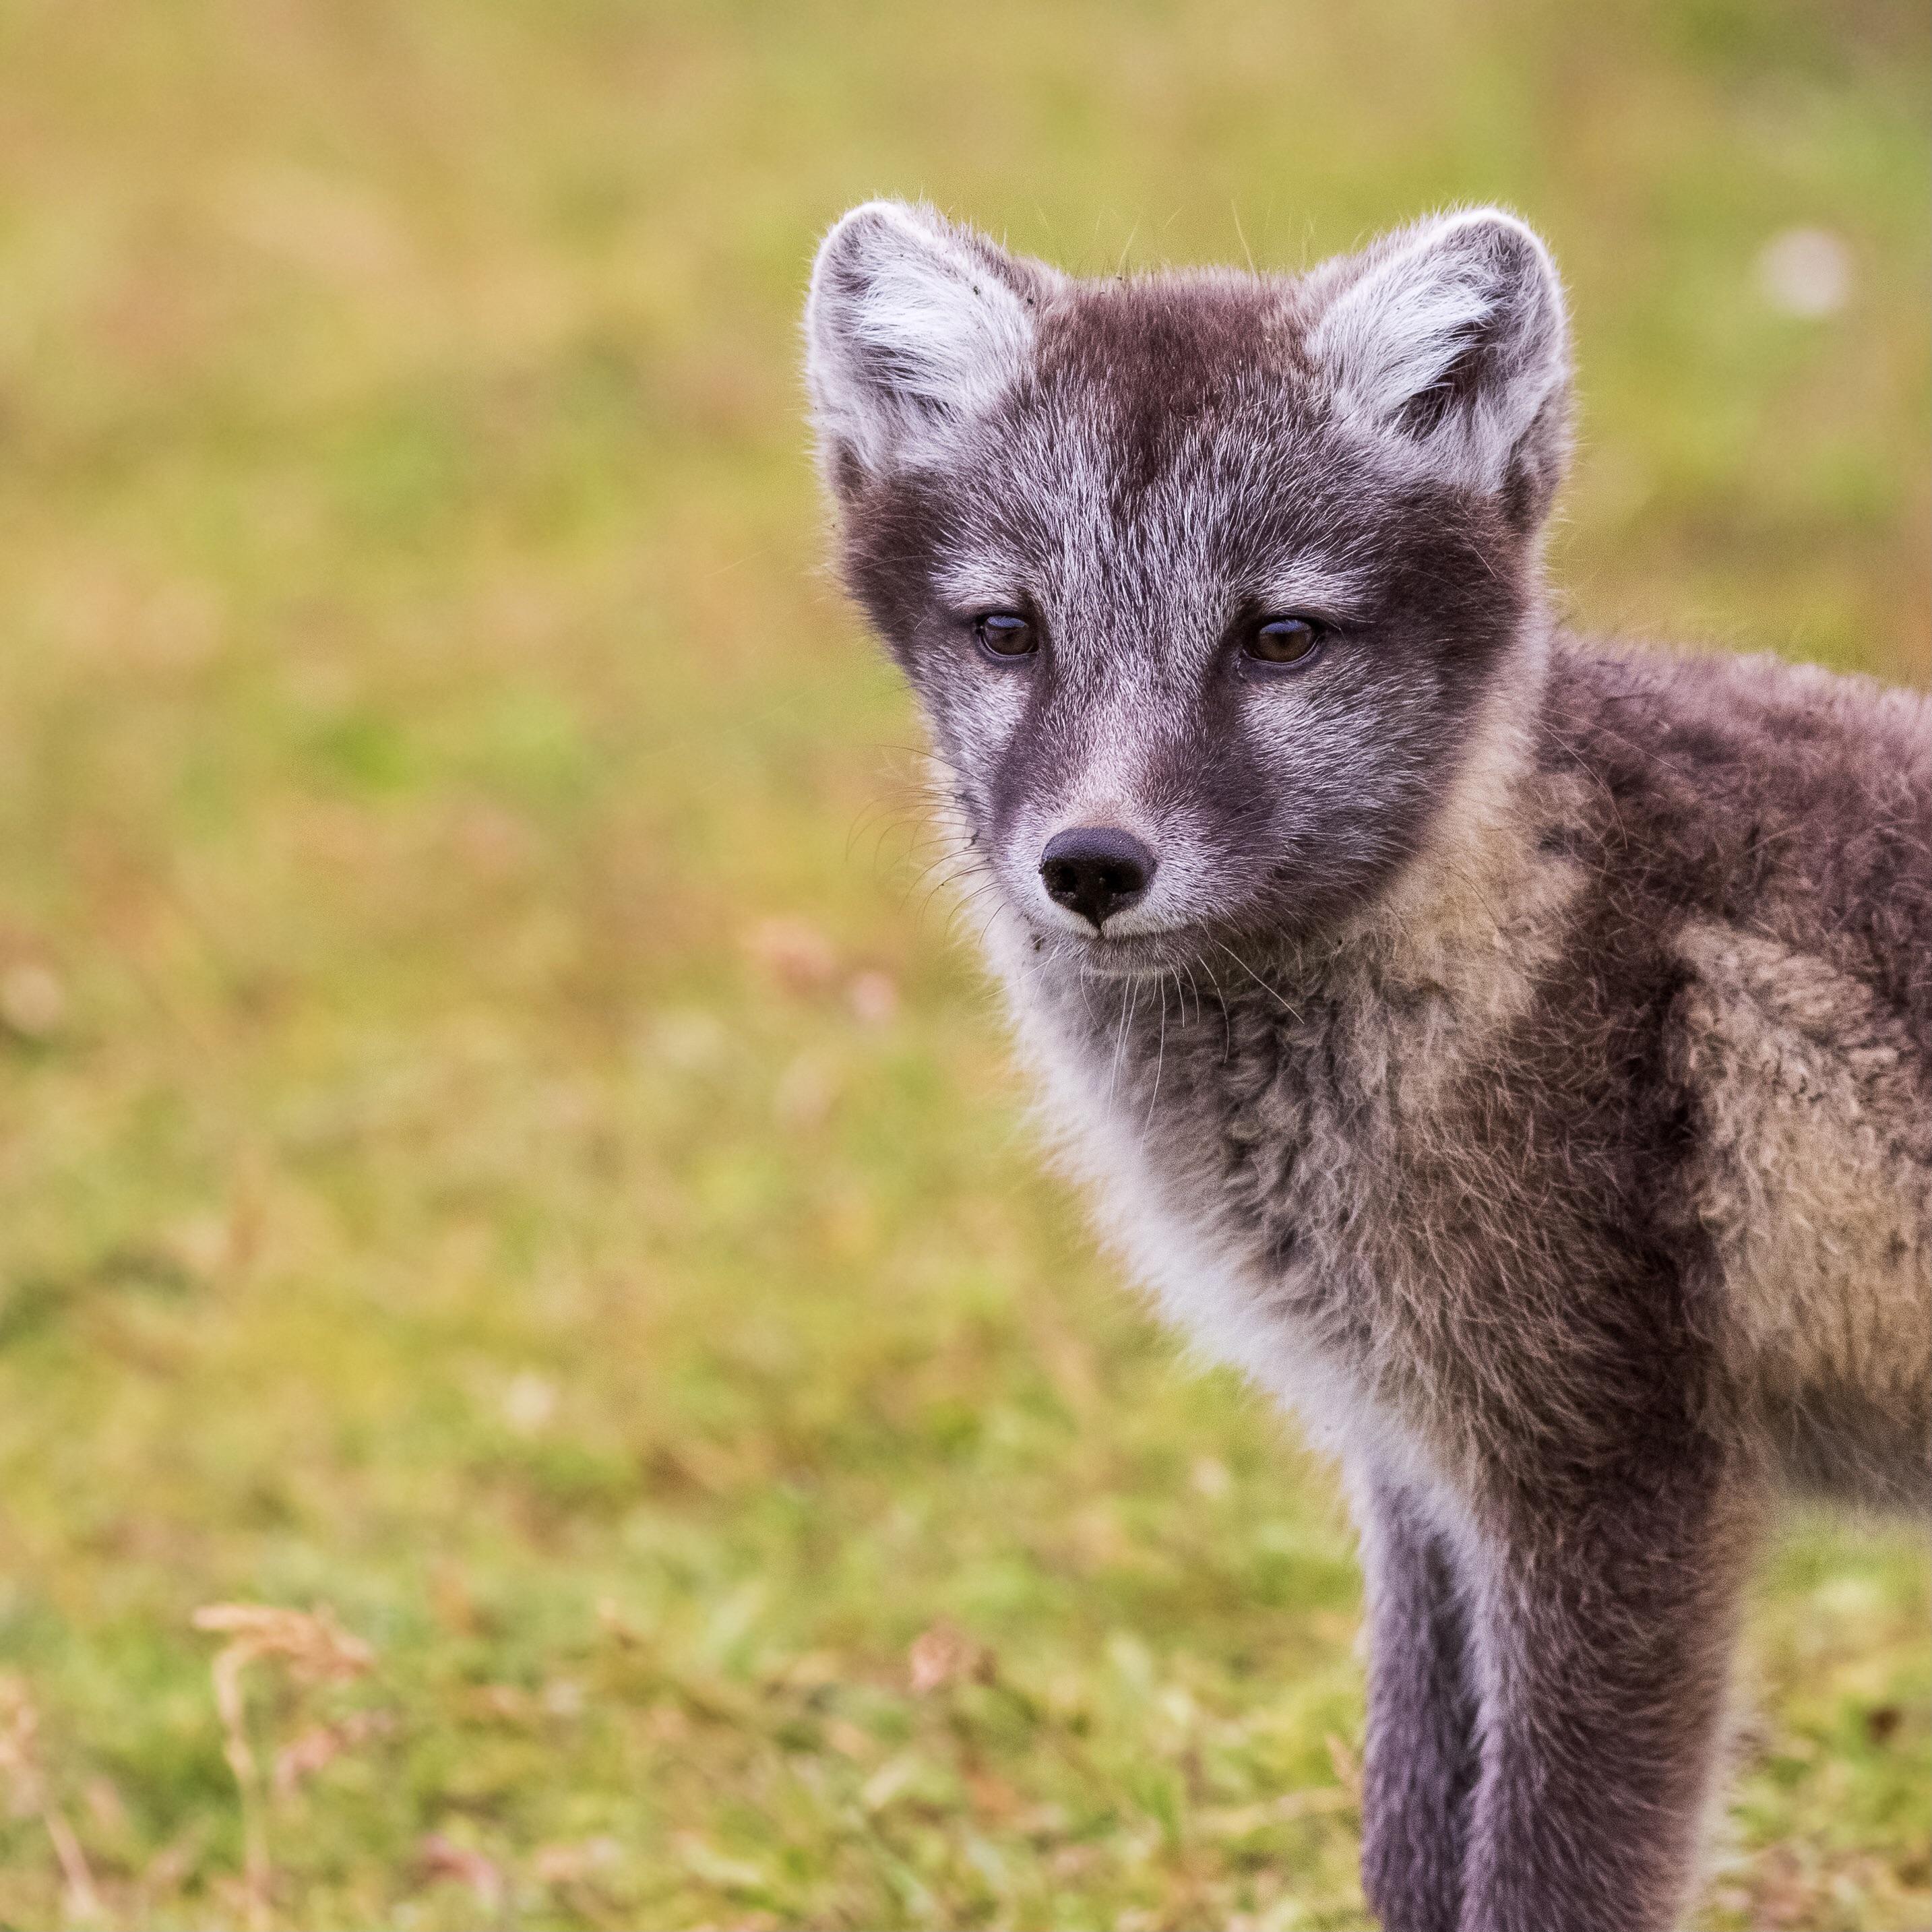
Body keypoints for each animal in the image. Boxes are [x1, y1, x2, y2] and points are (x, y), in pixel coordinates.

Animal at [800, 200, 1931, 1932]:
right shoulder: (1415, 1475)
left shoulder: (1608, 1481)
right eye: (1007, 629)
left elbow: (1546, 1880)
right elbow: (1408, 1840)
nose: (1091, 864)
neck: (1503, 915)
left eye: (1278, 637)